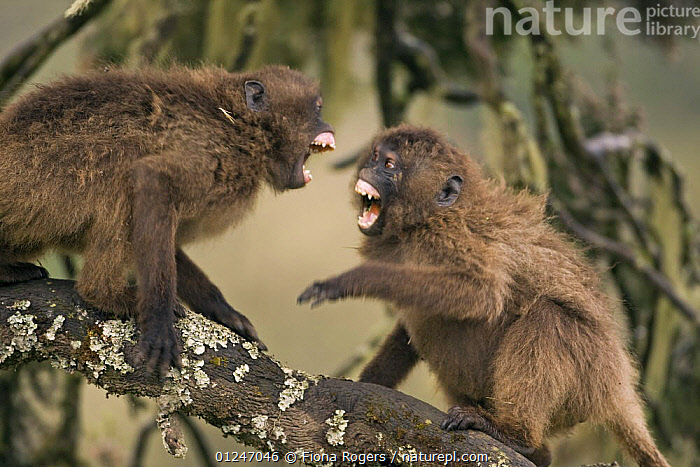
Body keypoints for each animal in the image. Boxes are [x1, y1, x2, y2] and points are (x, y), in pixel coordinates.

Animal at [0, 64, 335, 374]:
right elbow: (151, 177)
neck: (239, 124)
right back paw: (103, 293)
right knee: (123, 166)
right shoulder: (212, 155)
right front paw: (158, 323)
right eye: (317, 108)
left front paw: (222, 311)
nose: (328, 124)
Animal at [298, 125, 669, 467]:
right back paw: (539, 452)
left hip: (588, 376)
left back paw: (517, 436)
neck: (426, 219)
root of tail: (617, 391)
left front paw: (353, 281)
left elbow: (482, 294)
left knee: (548, 317)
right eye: (375, 157)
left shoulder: (448, 236)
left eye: (389, 165)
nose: (368, 170)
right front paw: (371, 382)